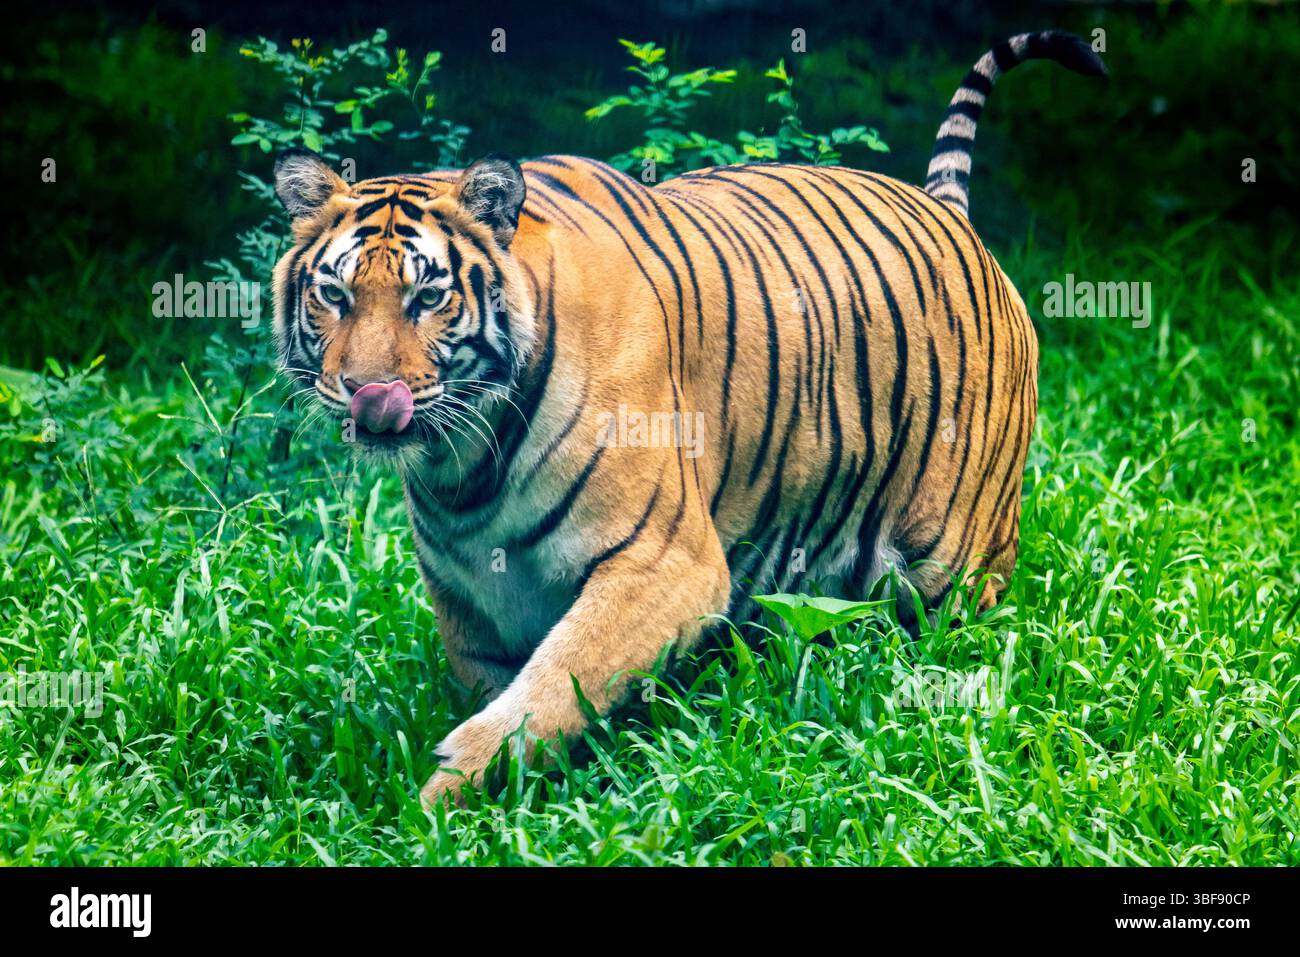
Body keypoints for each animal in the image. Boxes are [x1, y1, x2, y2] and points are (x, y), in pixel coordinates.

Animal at [269, 31, 1105, 805]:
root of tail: (949, 212)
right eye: (335, 294)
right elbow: (504, 686)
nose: (369, 393)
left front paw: (441, 799)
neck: (467, 462)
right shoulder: (471, 592)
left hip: (958, 558)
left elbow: (547, 690)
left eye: (429, 296)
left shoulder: (665, 562)